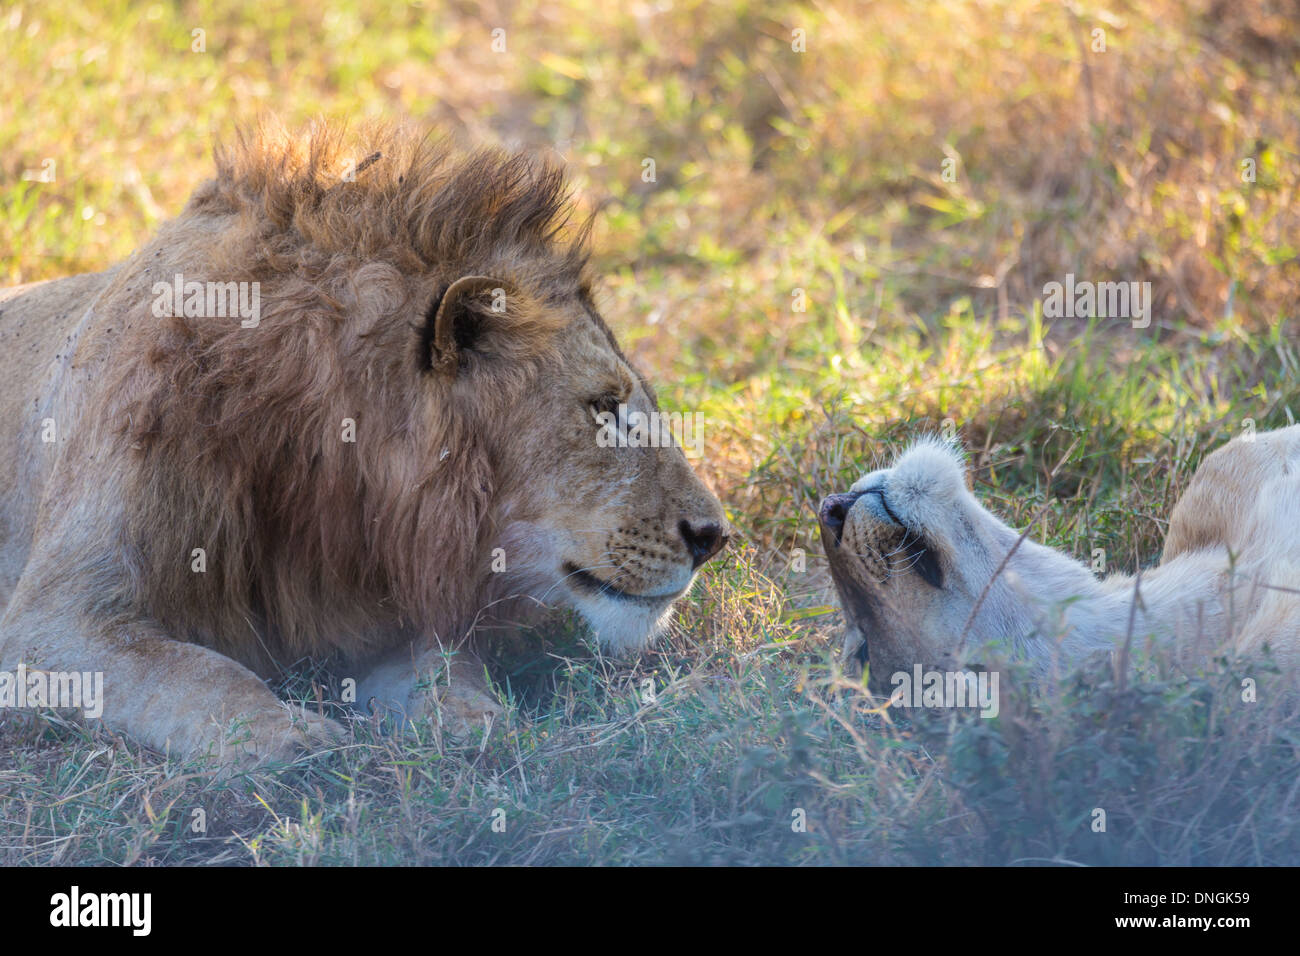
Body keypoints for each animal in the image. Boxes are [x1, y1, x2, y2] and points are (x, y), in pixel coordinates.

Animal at [0, 122, 729, 764]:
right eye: (603, 408)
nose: (714, 538)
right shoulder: (52, 622)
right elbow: (192, 670)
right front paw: (286, 741)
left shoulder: (378, 604)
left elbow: (441, 667)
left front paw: (478, 724)